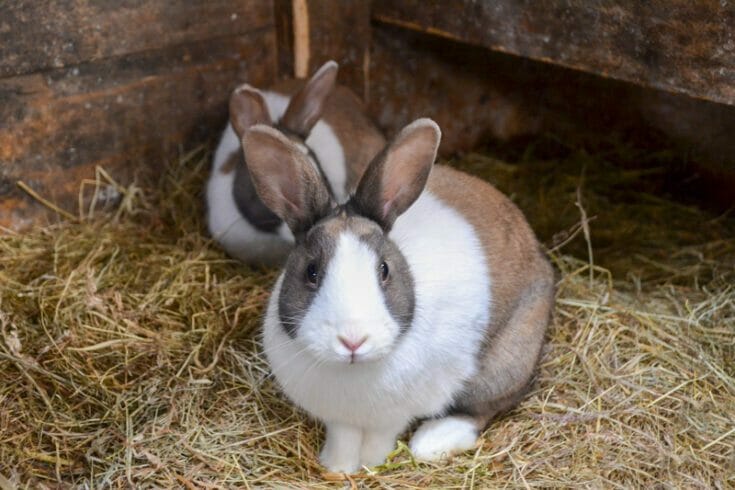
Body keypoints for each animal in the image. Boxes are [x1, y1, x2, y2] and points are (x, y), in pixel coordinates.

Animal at [241, 118, 555, 473]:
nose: (353, 340)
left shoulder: (394, 417)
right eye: (311, 271)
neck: (352, 371)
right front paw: (337, 468)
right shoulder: (339, 420)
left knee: (482, 408)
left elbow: (381, 438)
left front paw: (370, 464)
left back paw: (431, 442)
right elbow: (343, 438)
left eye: (384, 270)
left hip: (507, 363)